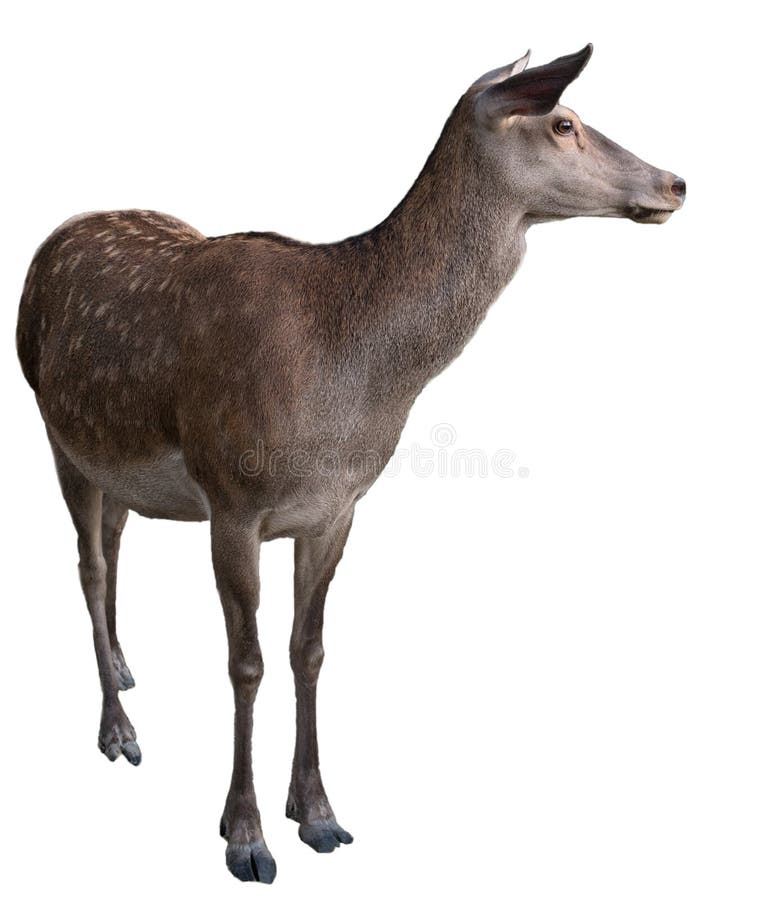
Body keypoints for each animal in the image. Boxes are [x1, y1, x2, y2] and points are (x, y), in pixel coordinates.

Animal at [16, 44, 684, 883]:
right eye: (564, 121)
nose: (676, 183)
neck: (350, 383)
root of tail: (52, 240)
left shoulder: (336, 508)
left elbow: (310, 651)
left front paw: (318, 813)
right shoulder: (232, 496)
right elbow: (246, 662)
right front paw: (244, 835)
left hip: (116, 461)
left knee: (112, 544)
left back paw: (129, 668)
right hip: (55, 428)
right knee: (89, 566)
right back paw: (117, 729)